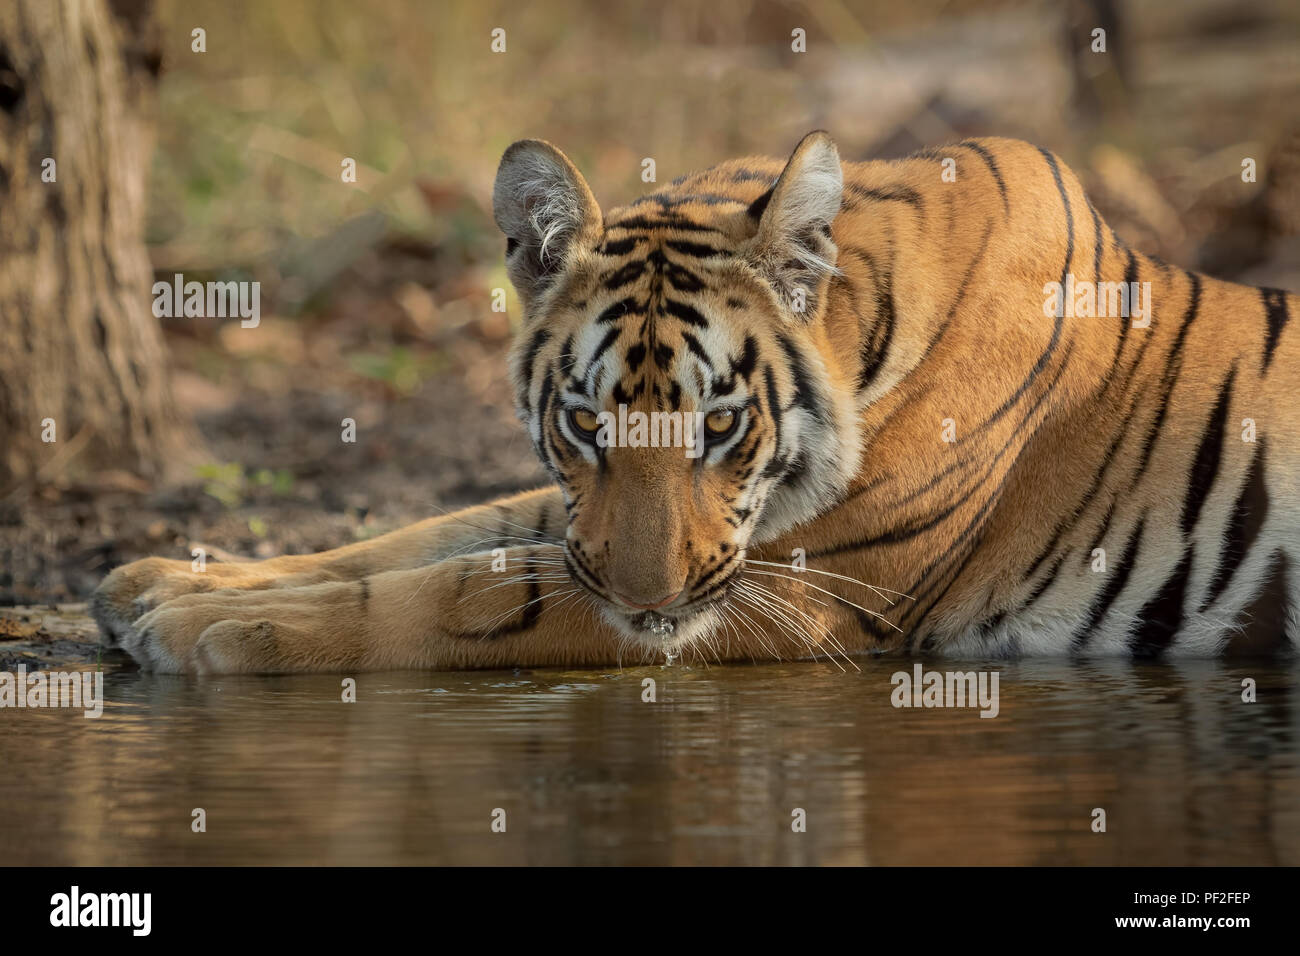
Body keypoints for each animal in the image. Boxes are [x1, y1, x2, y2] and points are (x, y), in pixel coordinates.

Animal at [91, 131, 1300, 674]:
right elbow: (425, 537)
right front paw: (158, 581)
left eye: (722, 424)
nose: (651, 596)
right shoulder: (591, 523)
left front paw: (211, 627)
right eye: (586, 422)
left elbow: (459, 594)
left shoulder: (787, 591)